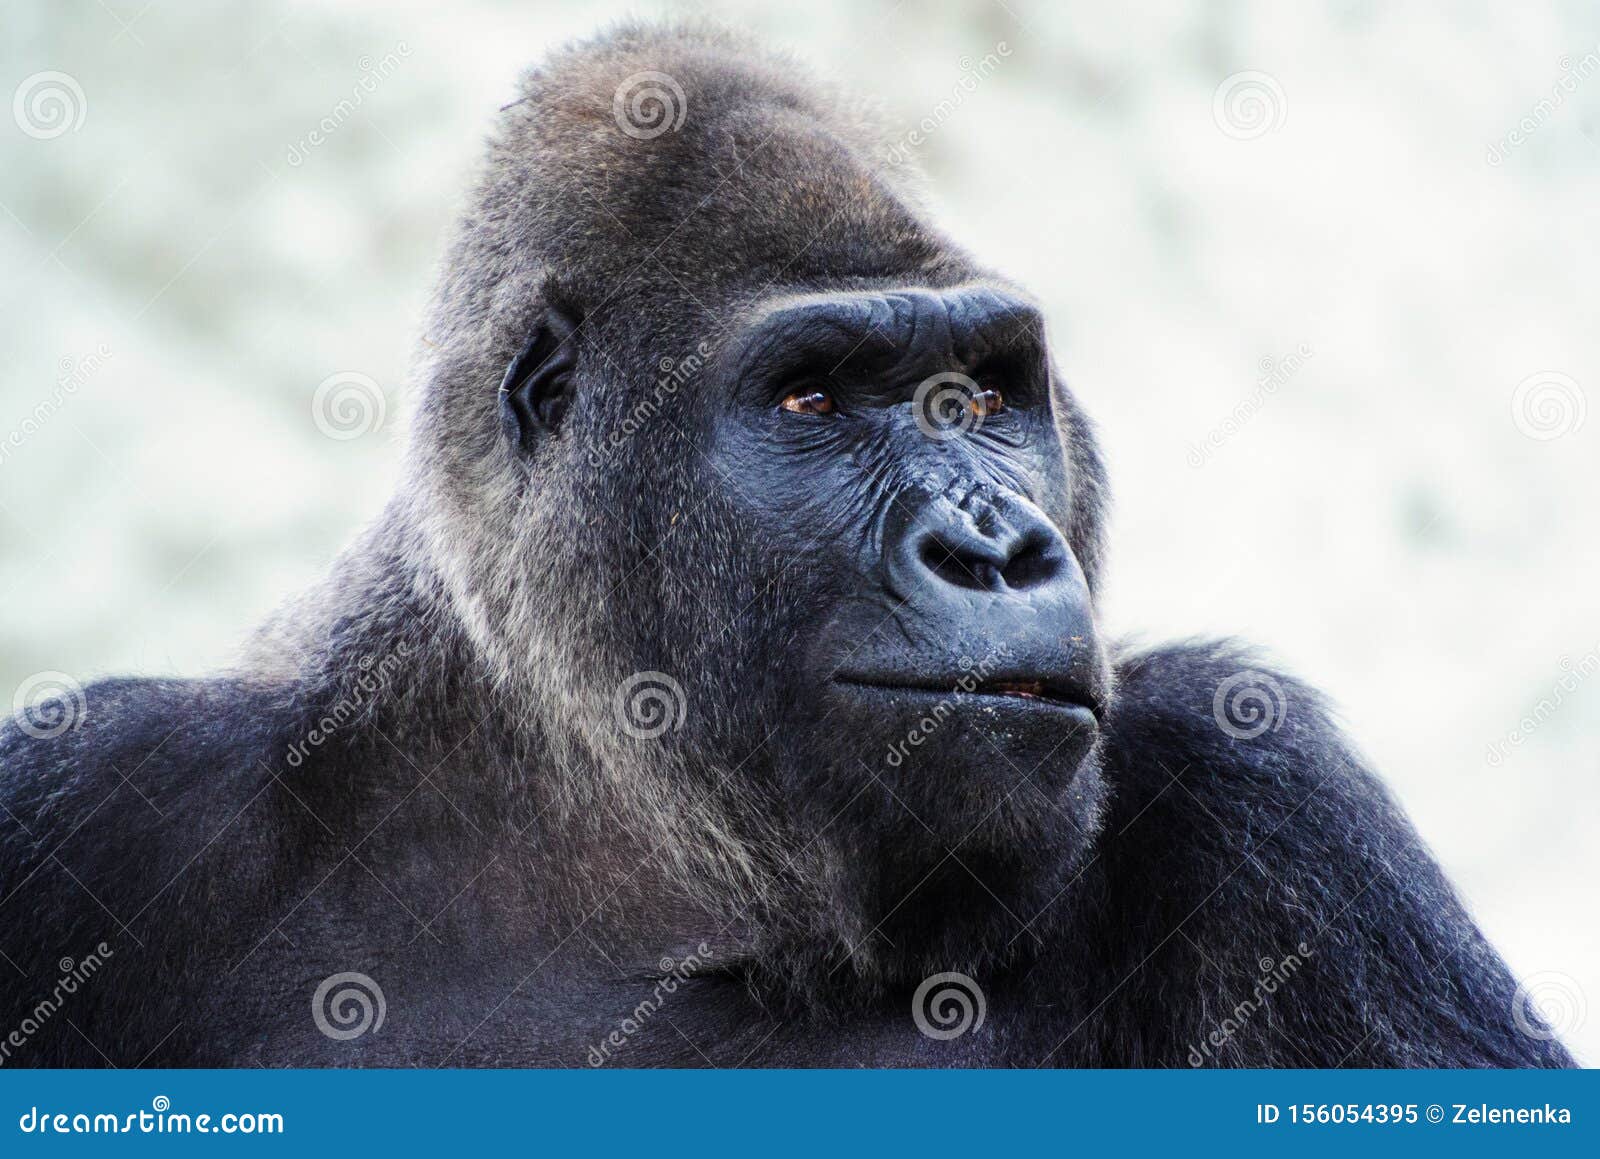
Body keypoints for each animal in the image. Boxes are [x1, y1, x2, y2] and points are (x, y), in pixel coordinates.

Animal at [0, 23, 1574, 1068]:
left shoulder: (1266, 797)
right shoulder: (105, 793)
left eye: (979, 397)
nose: (995, 548)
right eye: (814, 398)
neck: (630, 851)